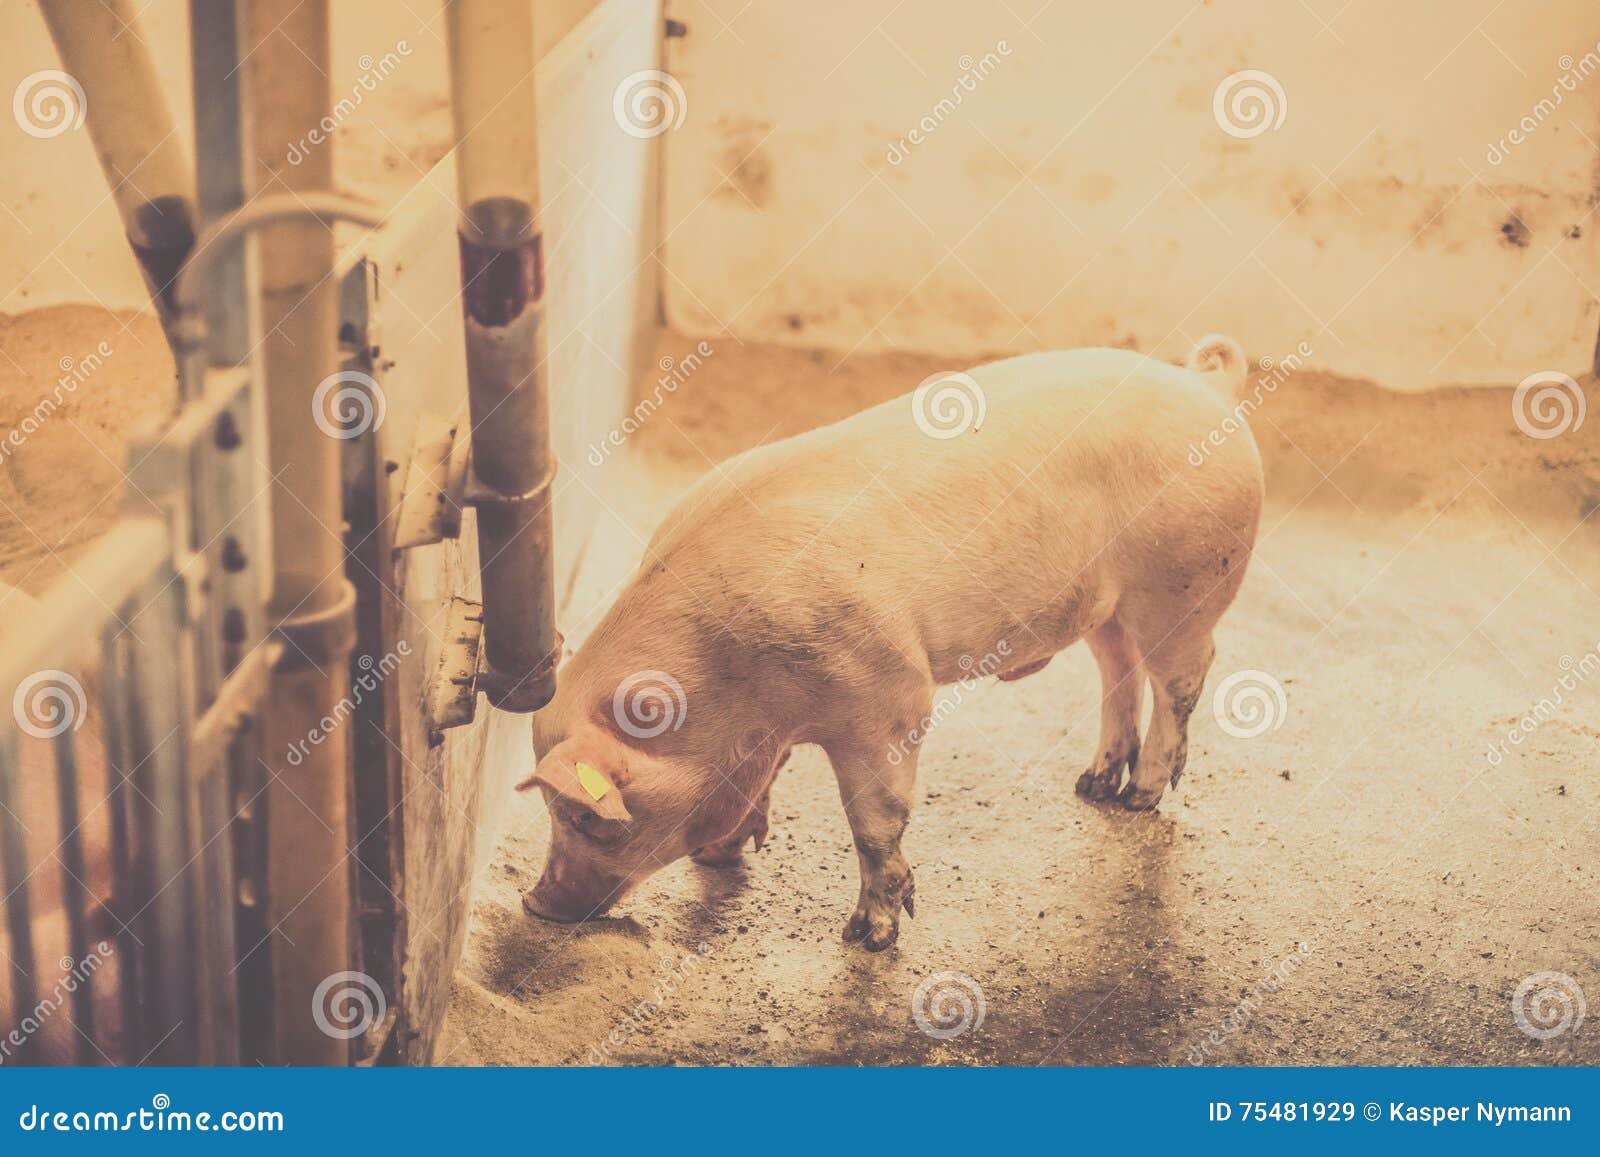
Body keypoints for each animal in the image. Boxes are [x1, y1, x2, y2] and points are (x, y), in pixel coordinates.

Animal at [521, 336, 1263, 950]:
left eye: (587, 818)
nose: (535, 903)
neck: (731, 684)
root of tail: (1206, 383)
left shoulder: (889, 698)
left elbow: (877, 823)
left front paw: (868, 937)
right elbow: (772, 778)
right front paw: (719, 854)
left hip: (1185, 581)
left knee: (1184, 677)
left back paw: (1140, 796)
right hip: (1108, 602)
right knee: (1119, 666)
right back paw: (1093, 785)